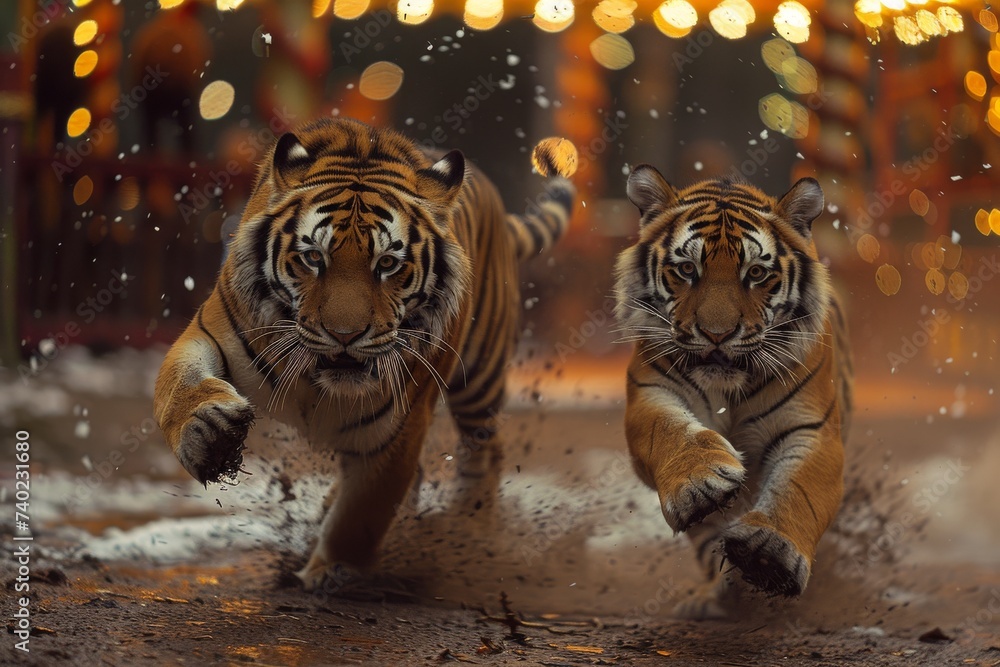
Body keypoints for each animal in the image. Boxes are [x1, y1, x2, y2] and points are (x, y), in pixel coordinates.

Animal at [153, 117, 575, 589]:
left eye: (388, 263)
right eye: (313, 257)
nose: (344, 335)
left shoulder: (399, 425)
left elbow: (364, 511)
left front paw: (334, 570)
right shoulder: (212, 332)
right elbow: (178, 383)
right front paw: (204, 434)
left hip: (479, 377)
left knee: (484, 449)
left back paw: (468, 528)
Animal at [613, 165, 852, 619]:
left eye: (756, 273)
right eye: (687, 269)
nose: (717, 335)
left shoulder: (811, 429)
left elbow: (800, 490)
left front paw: (769, 554)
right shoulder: (651, 392)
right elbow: (670, 433)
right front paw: (700, 484)